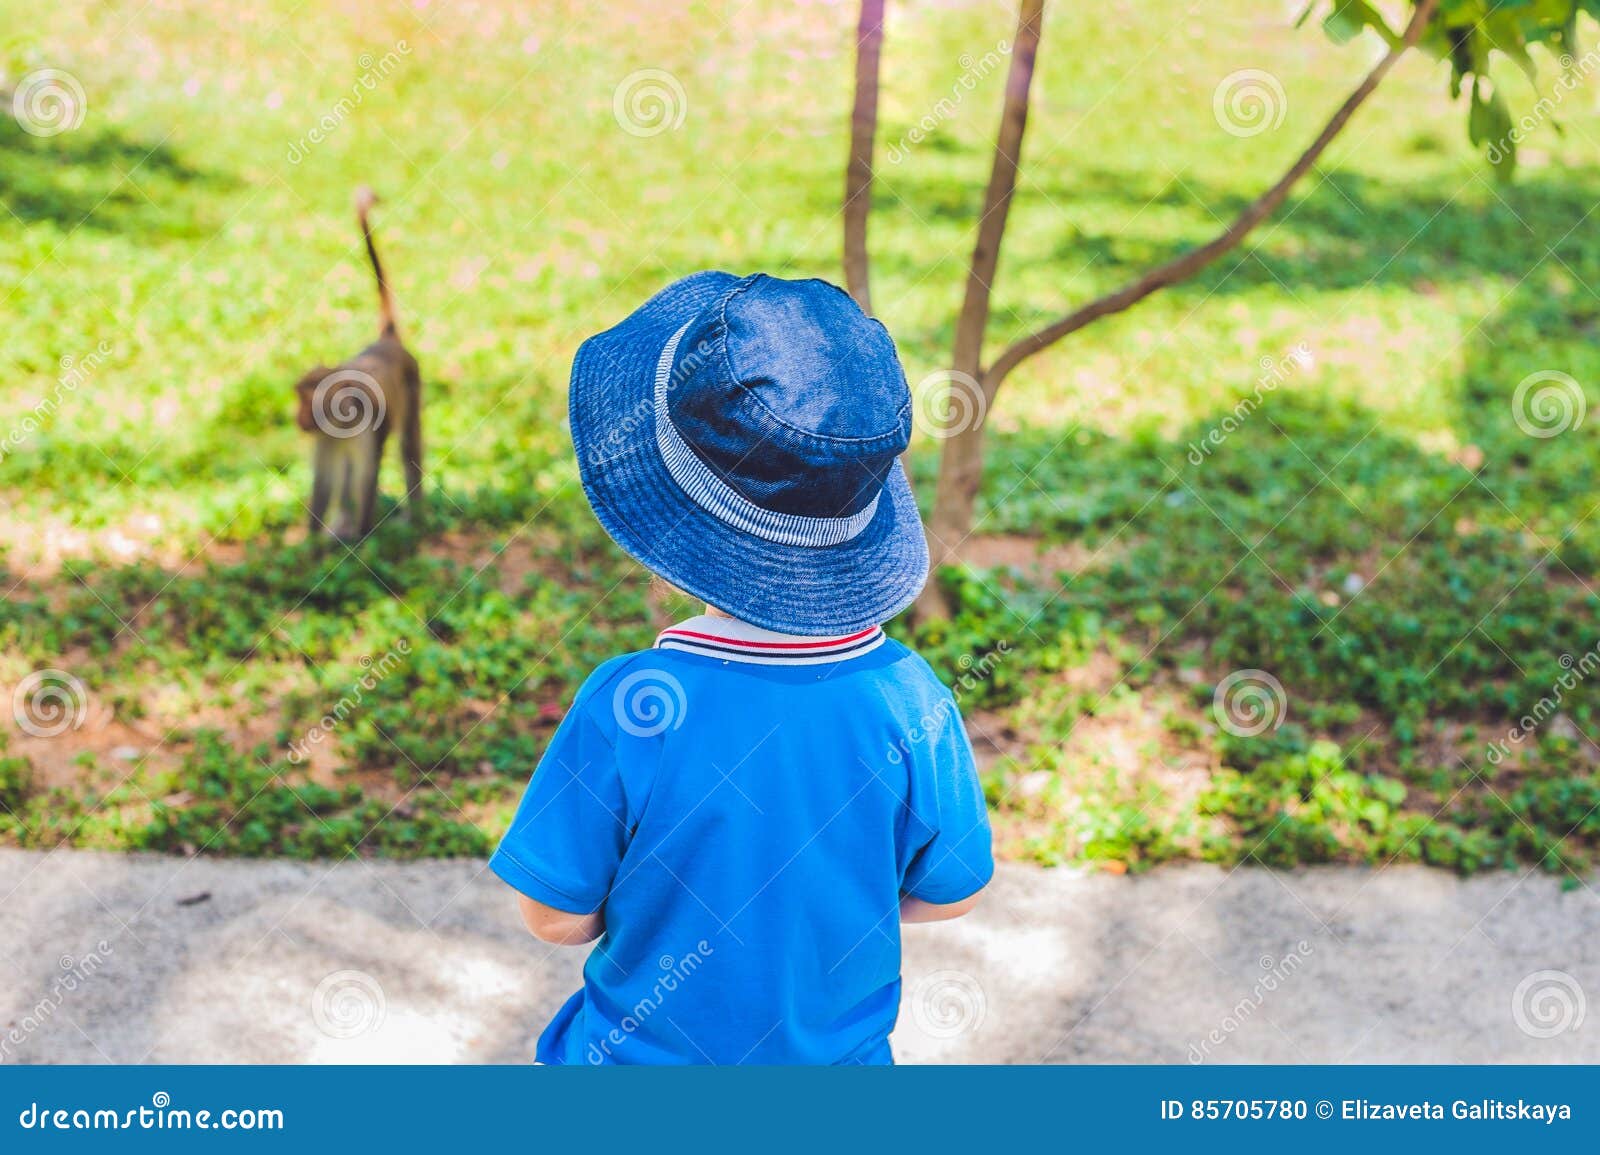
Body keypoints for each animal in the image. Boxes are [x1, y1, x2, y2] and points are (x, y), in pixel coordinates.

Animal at [294, 187, 423, 544]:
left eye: (308, 400)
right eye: (298, 398)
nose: (298, 417)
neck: (341, 420)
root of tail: (387, 342)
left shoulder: (370, 425)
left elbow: (368, 475)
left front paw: (363, 543)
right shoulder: (325, 435)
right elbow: (325, 481)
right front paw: (311, 547)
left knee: (408, 448)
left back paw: (415, 519)